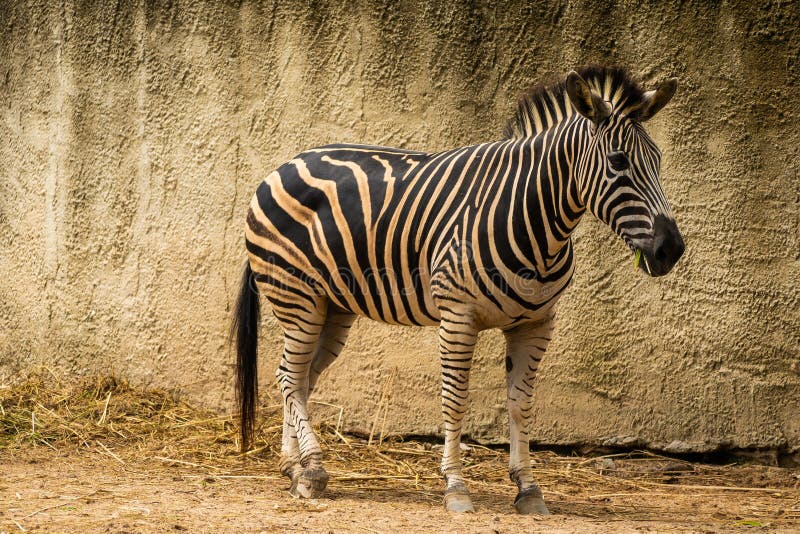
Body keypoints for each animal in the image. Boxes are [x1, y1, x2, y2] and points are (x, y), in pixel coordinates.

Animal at [231, 66, 684, 515]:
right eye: (618, 162)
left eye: (659, 162)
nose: (672, 249)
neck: (533, 219)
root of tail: (284, 164)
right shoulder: (458, 316)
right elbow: (455, 398)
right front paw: (455, 486)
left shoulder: (537, 323)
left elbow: (521, 403)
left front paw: (528, 488)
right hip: (297, 297)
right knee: (289, 375)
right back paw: (313, 470)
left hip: (332, 306)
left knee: (300, 377)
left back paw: (295, 467)